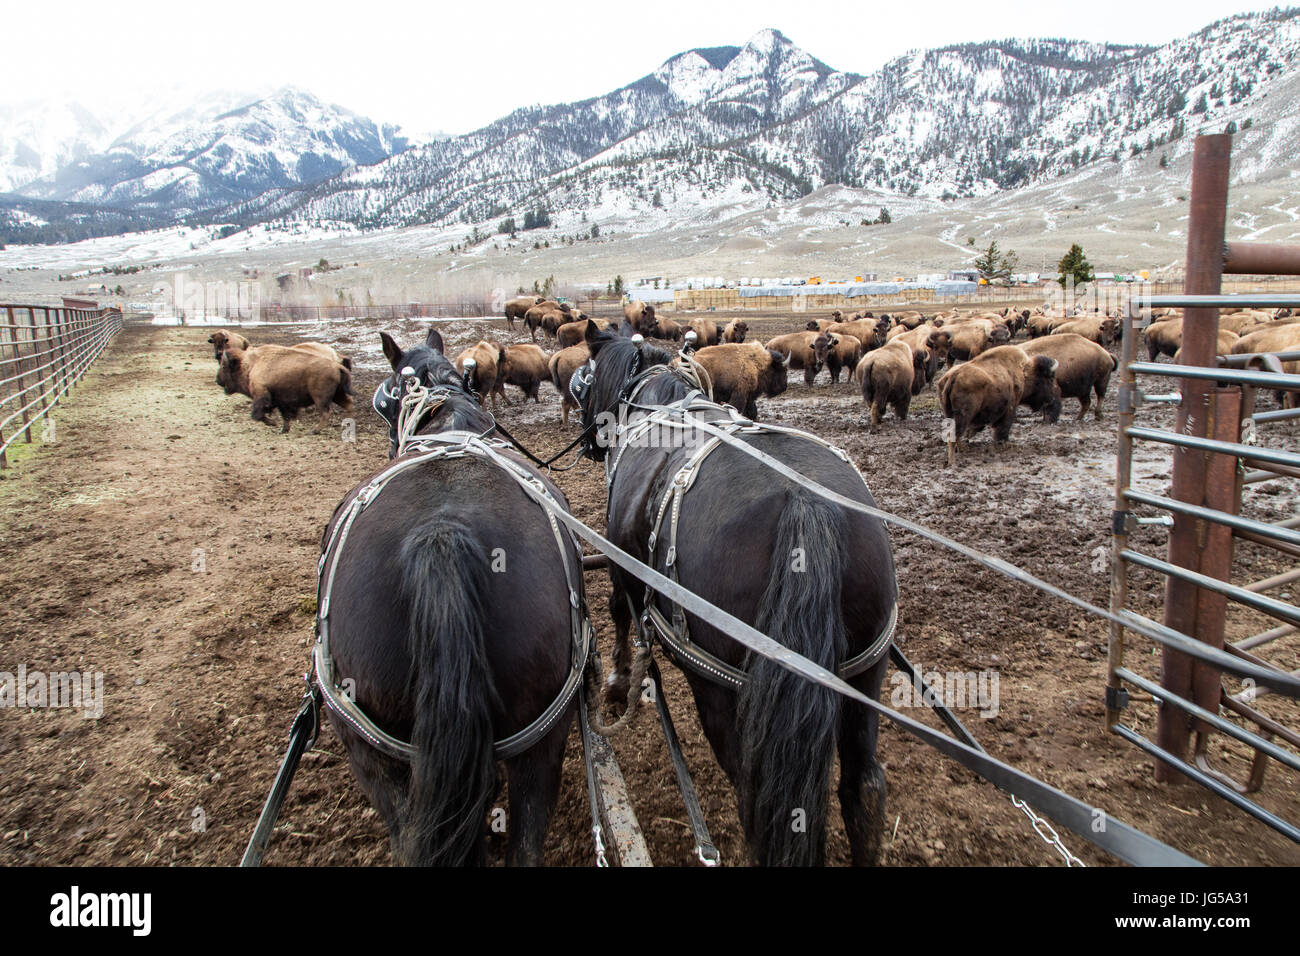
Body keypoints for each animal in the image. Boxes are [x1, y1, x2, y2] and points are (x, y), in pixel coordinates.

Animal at [578, 325, 898, 866]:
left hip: (721, 690)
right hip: (865, 673)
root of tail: (803, 500)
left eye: (586, 379)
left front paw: (620, 682)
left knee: (757, 805)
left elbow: (620, 610)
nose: (588, 445)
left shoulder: (621, 564)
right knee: (865, 790)